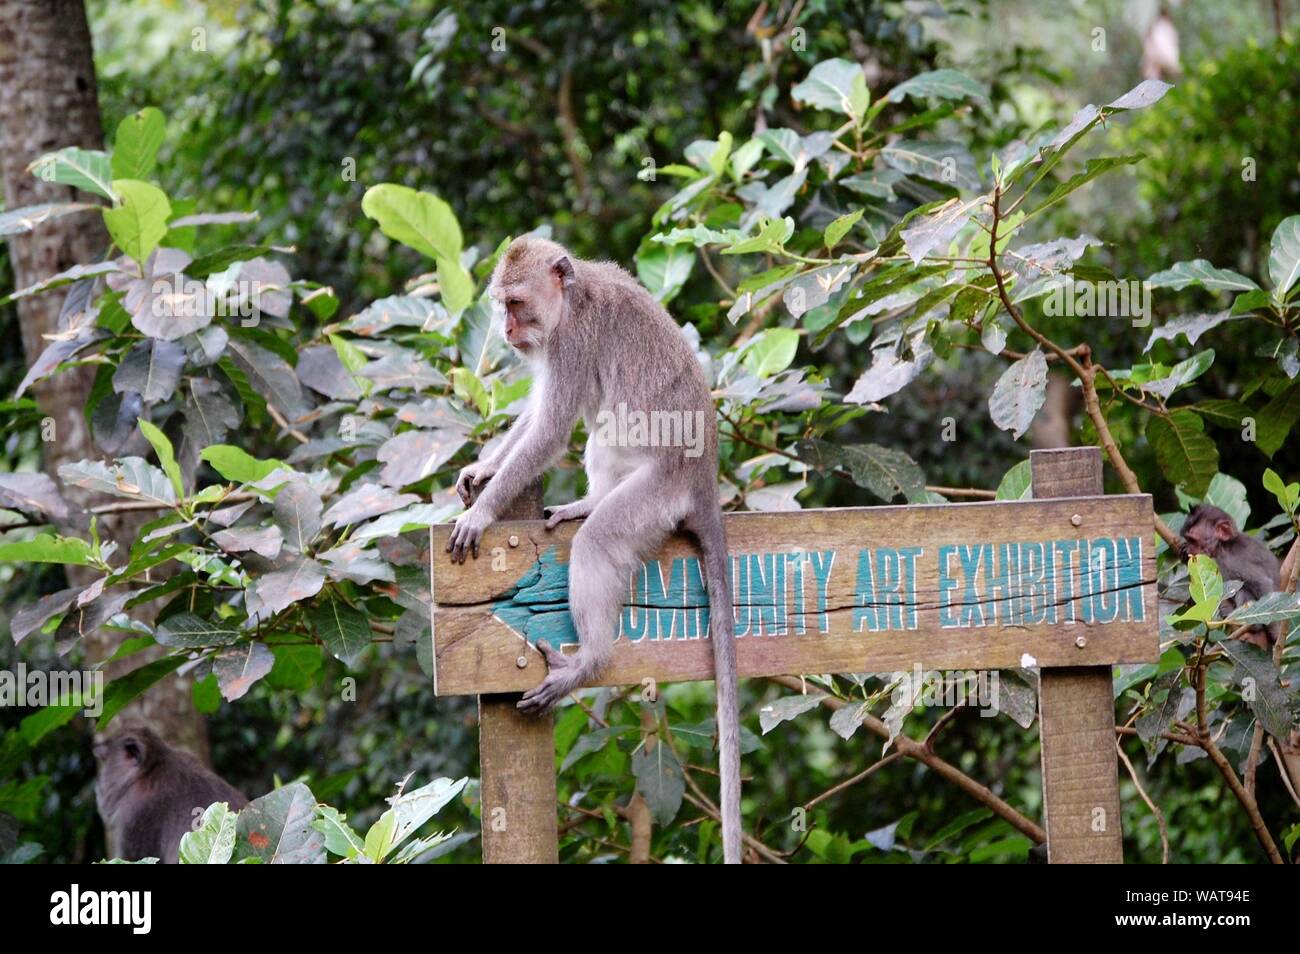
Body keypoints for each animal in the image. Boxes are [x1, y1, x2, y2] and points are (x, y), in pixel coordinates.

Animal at [446, 235, 742, 863]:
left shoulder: (572, 343)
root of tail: (704, 478)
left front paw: (482, 512)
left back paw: (589, 660)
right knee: (603, 435)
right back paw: (587, 503)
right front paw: (484, 468)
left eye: (515, 303)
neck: (569, 301)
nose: (507, 332)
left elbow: (550, 430)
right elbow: (538, 417)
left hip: (659, 495)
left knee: (601, 540)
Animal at [1179, 504, 1282, 648]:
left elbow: (1263, 582)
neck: (1222, 547)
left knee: (1244, 588)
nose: (1190, 549)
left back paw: (1251, 625)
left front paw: (1275, 632)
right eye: (1187, 540)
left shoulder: (1231, 561)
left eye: (1193, 540)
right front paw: (1183, 554)